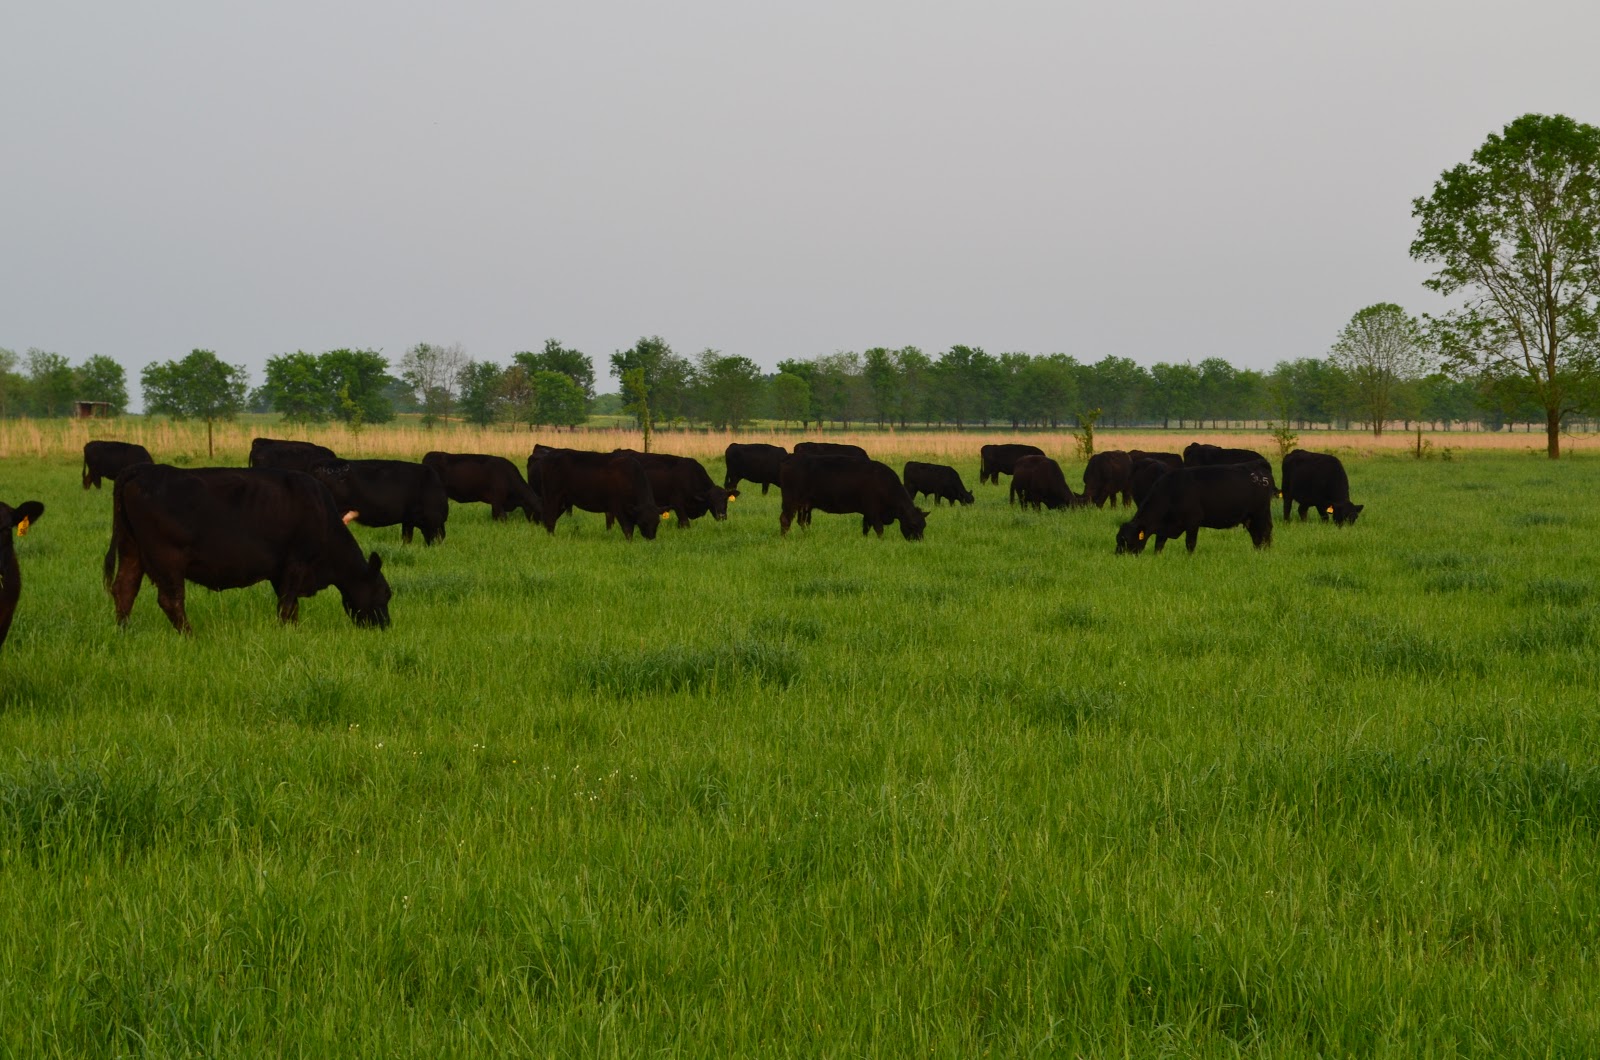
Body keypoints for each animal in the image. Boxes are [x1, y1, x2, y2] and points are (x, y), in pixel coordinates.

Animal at [102, 465, 390, 632]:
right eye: (385, 593)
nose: (385, 626)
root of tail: (142, 470)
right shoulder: (298, 559)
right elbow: (287, 603)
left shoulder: (280, 570)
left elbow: (289, 603)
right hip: (167, 558)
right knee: (170, 600)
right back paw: (190, 635)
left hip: (131, 549)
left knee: (124, 588)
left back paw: (124, 630)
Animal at [537, 449, 668, 540]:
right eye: (643, 522)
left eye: (657, 522)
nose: (651, 539)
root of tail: (551, 454)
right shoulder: (618, 507)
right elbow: (628, 529)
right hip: (552, 497)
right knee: (550, 518)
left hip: (563, 501)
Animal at [779, 455, 927, 540]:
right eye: (913, 525)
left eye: (923, 525)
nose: (919, 541)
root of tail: (789, 461)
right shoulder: (873, 511)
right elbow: (879, 529)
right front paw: (881, 541)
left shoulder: (868, 513)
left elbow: (866, 528)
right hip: (790, 501)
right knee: (785, 519)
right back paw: (784, 538)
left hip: (804, 505)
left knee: (802, 522)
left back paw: (807, 535)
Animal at [1116, 464, 1275, 555]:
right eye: (1118, 539)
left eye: (1127, 541)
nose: (1118, 555)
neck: (1171, 491)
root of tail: (1261, 474)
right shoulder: (1164, 527)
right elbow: (1159, 544)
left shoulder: (1193, 522)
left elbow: (1190, 543)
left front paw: (1190, 557)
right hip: (1249, 518)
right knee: (1256, 535)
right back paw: (1258, 551)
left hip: (1260, 513)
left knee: (1264, 532)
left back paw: (1265, 552)